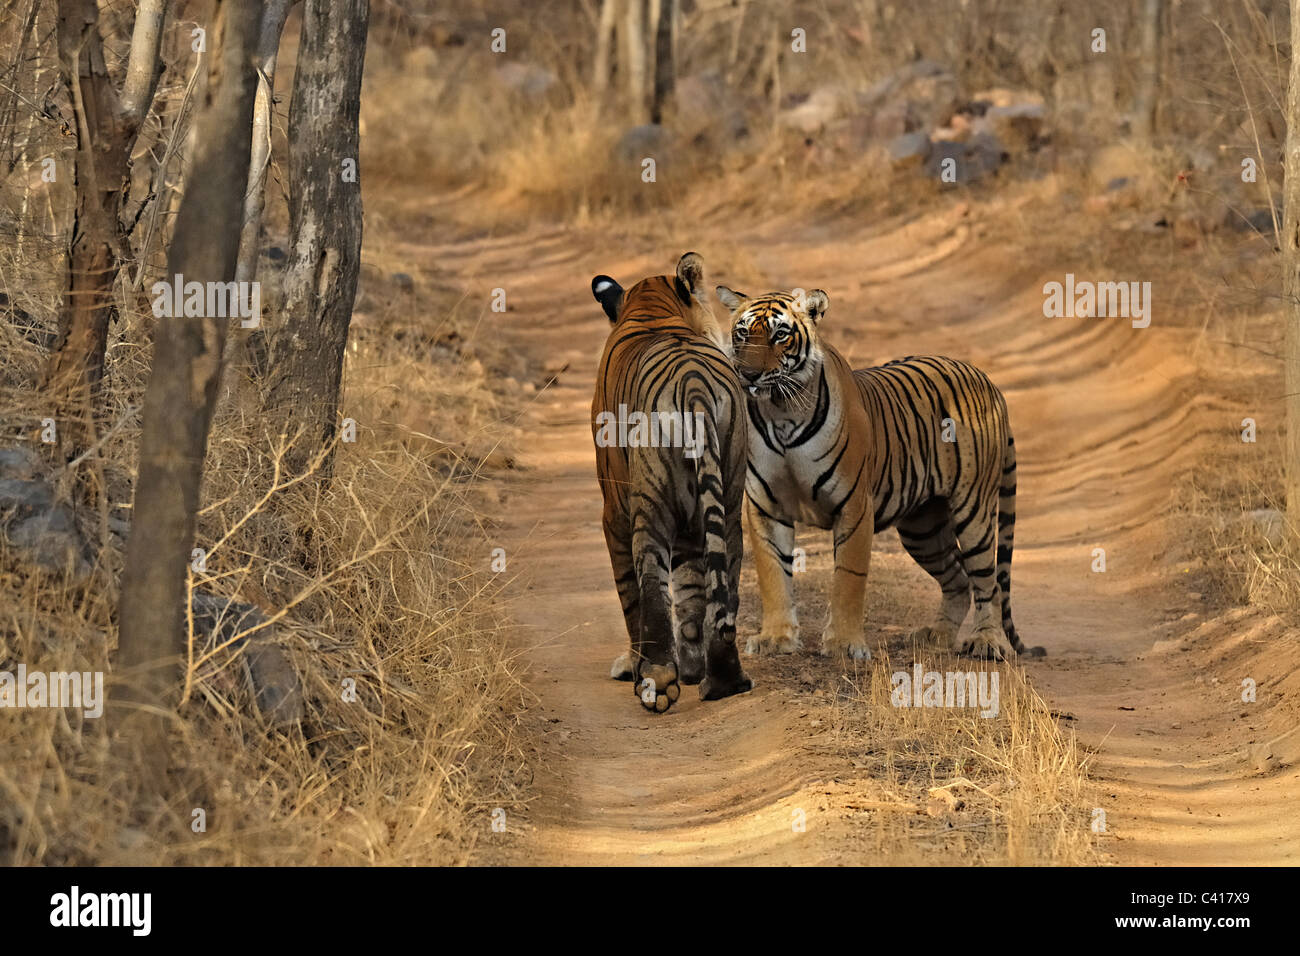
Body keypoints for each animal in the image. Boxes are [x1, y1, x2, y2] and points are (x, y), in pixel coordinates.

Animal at [588, 252, 754, 713]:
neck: (652, 309)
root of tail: (694, 386)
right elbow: (693, 590)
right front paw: (694, 667)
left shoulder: (614, 509)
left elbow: (632, 594)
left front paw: (631, 665)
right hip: (727, 503)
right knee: (721, 588)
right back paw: (722, 681)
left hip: (650, 506)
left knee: (649, 583)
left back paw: (657, 681)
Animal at [714, 284, 1045, 662]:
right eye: (742, 333)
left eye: (780, 335)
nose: (748, 374)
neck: (780, 410)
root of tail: (988, 381)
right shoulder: (765, 506)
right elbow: (772, 573)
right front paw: (775, 638)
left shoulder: (854, 505)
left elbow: (849, 575)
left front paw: (844, 644)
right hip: (923, 527)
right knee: (958, 579)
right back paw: (935, 636)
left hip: (973, 509)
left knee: (986, 579)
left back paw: (987, 642)